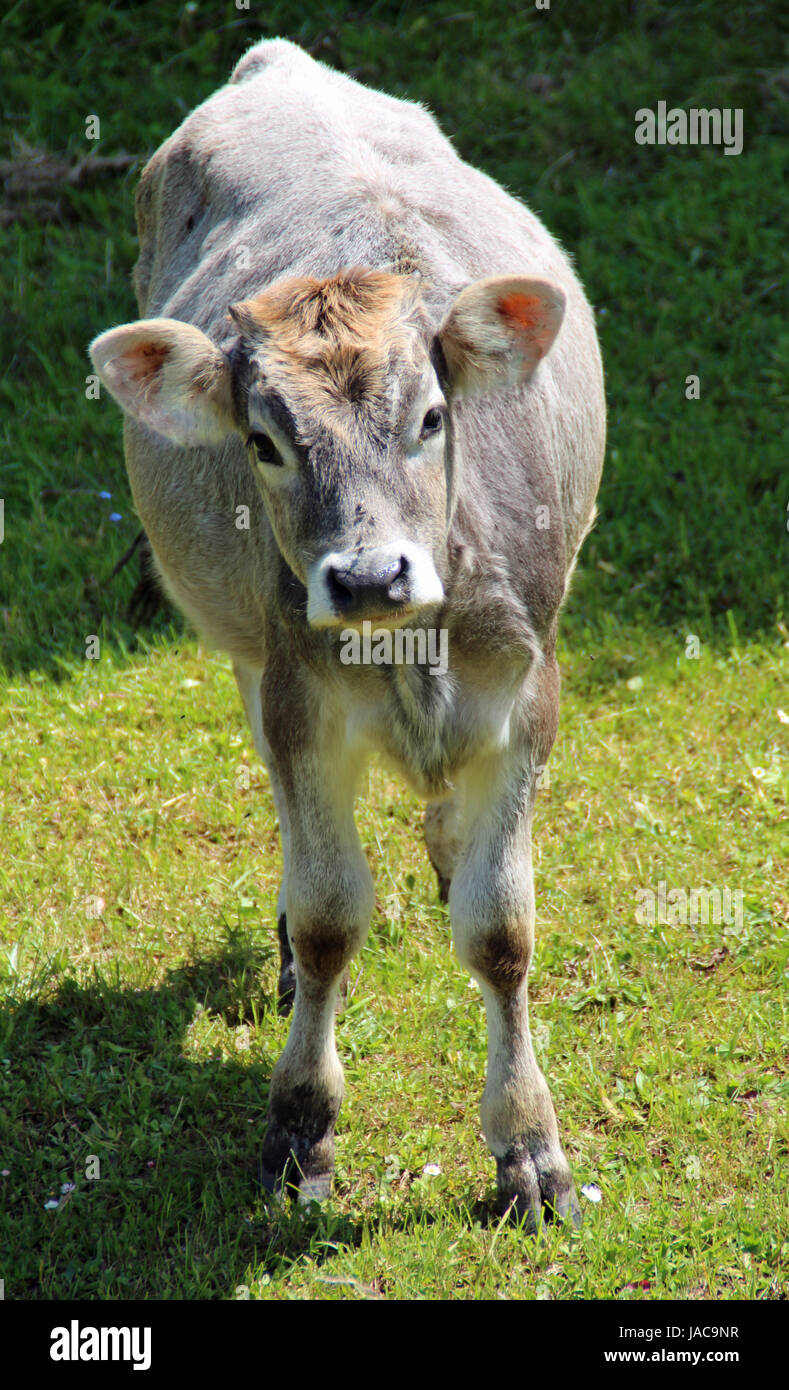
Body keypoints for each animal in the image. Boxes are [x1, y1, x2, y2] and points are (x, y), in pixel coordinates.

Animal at [90, 37, 605, 1231]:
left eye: (431, 417)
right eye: (265, 443)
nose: (370, 575)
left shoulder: (528, 698)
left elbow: (501, 929)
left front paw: (529, 1149)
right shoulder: (298, 701)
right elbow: (330, 918)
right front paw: (299, 1130)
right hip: (244, 646)